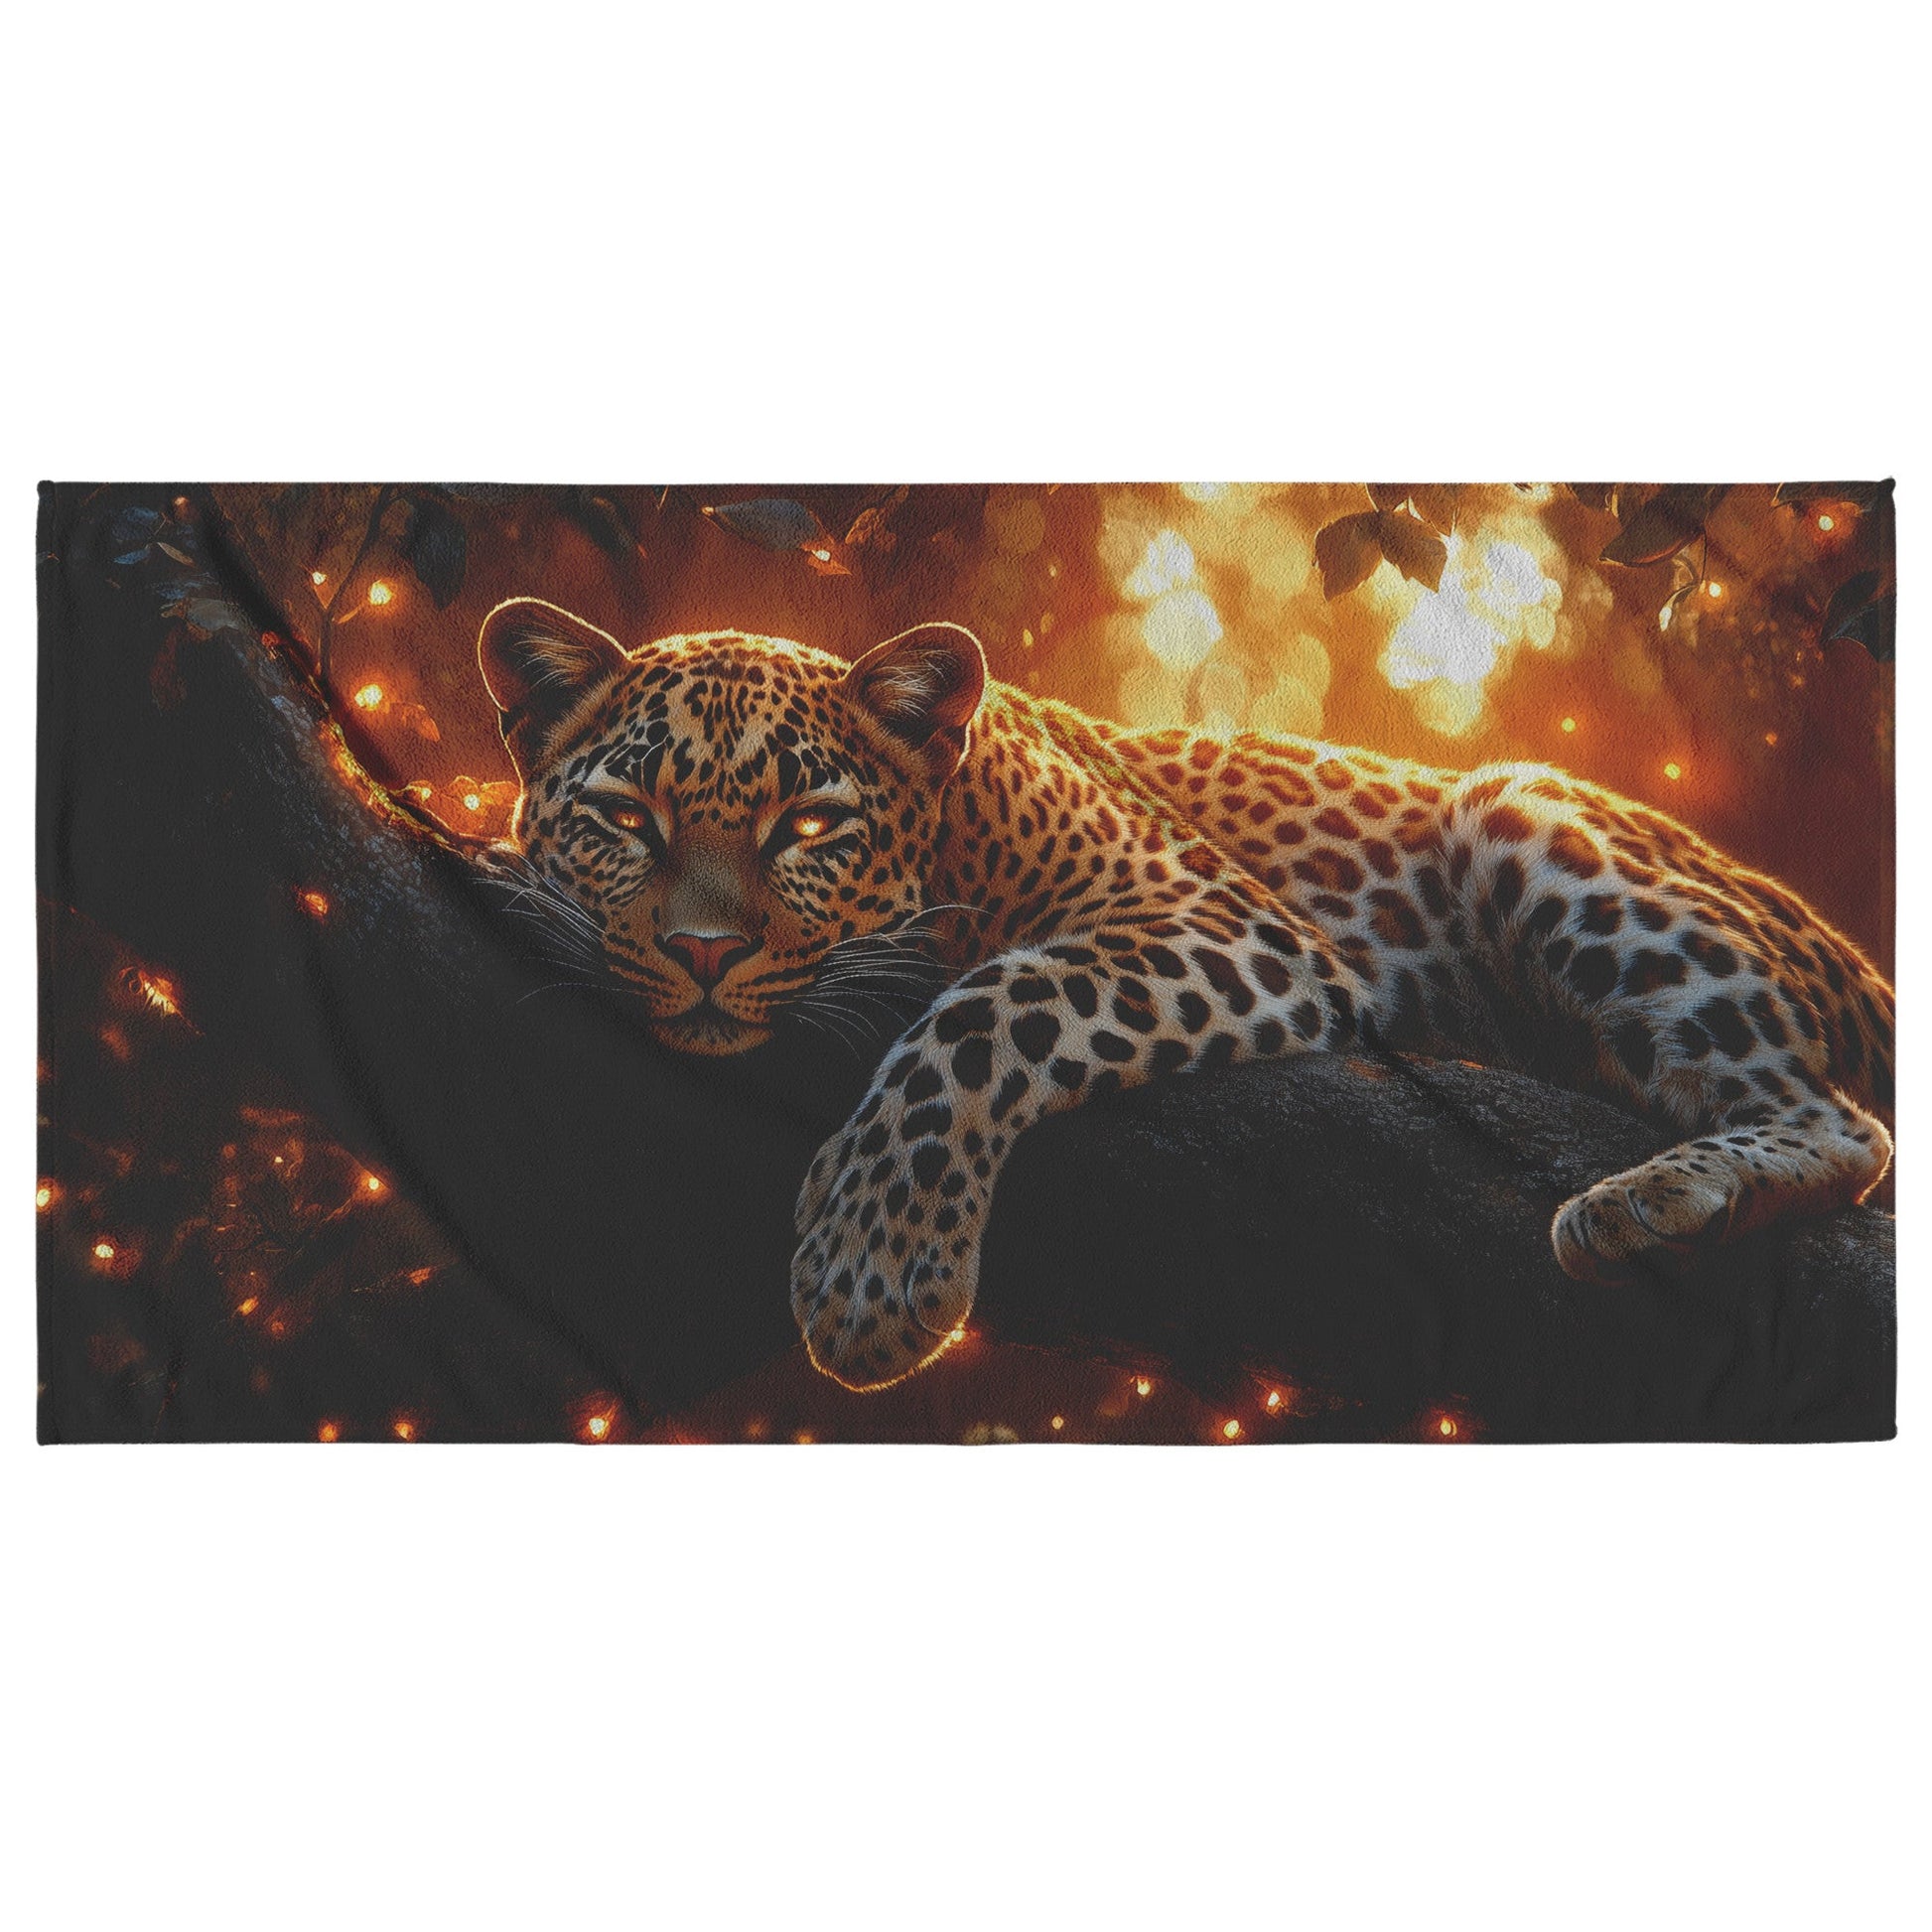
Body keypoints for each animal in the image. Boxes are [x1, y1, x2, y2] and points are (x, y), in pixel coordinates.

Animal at [476, 596, 1896, 1391]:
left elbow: (986, 1007)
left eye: (809, 825)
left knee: (1842, 1125)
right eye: (625, 816)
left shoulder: (1225, 920)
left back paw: (1647, 1199)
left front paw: (874, 1267)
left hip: (1520, 806)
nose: (703, 949)